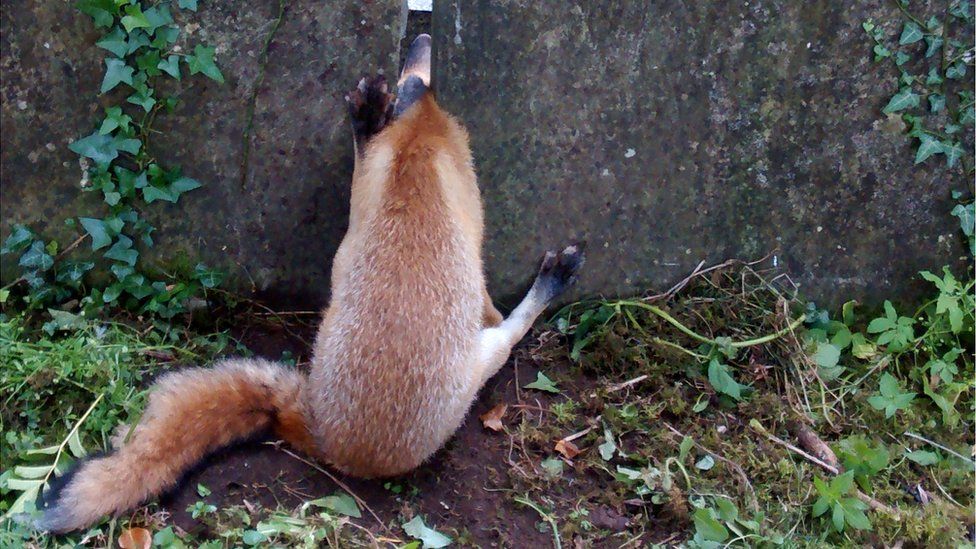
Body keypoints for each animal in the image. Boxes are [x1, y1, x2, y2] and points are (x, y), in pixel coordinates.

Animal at [34, 34, 584, 533]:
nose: (423, 35)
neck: (418, 150)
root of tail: (329, 439)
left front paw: (368, 112)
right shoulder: (474, 259)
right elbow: (492, 305)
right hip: (481, 357)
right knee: (511, 330)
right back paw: (553, 279)